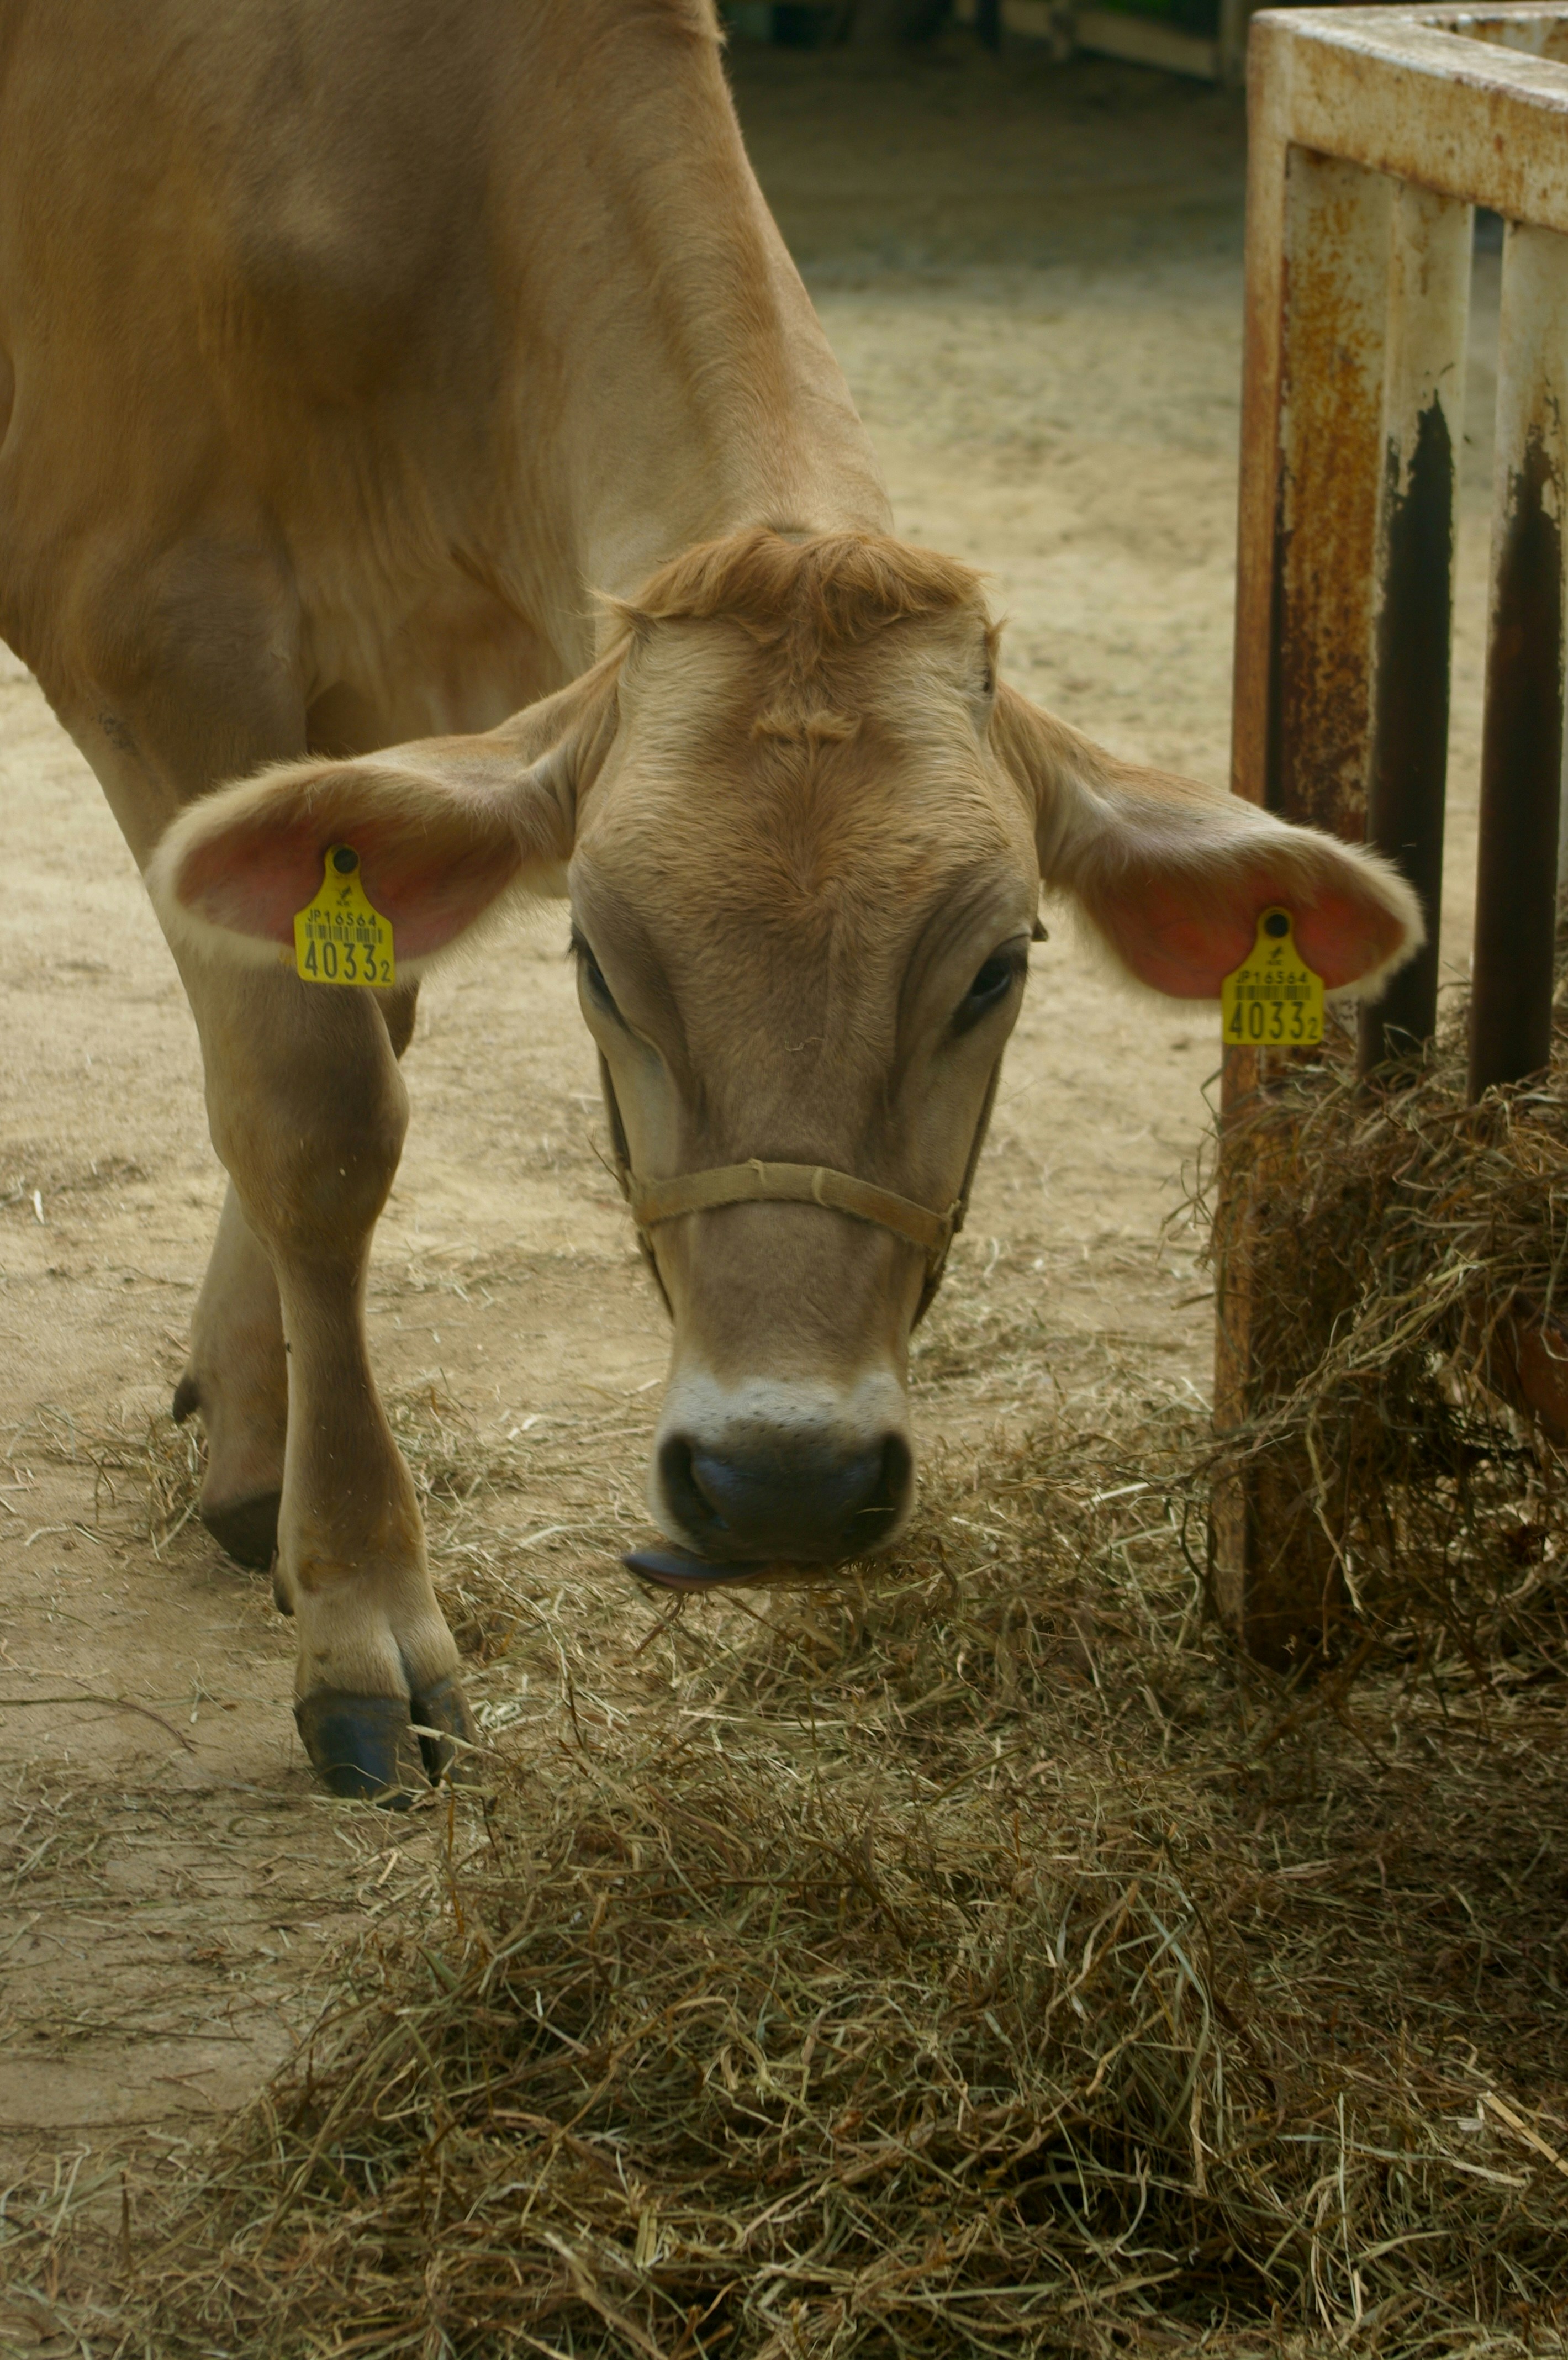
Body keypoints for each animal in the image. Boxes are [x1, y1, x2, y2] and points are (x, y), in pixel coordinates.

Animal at [0, 0, 1419, 1799]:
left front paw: (259, 1454)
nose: (783, 1480)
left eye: (998, 968)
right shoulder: (148, 631)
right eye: (597, 963)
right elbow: (318, 1110)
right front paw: (362, 1608)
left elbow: (362, 999)